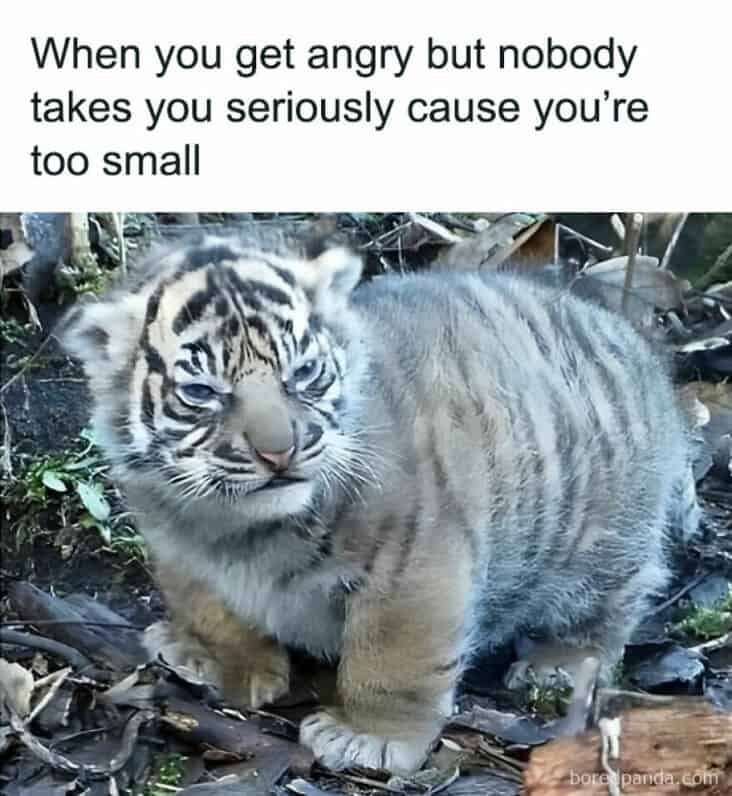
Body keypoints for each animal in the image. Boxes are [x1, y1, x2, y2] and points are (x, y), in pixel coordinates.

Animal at [59, 234, 699, 774]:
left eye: (303, 372)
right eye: (202, 392)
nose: (280, 451)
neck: (235, 527)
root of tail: (644, 356)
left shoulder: (413, 565)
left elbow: (393, 656)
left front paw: (370, 738)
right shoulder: (180, 549)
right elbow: (212, 610)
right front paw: (214, 659)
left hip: (603, 539)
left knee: (616, 601)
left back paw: (559, 664)